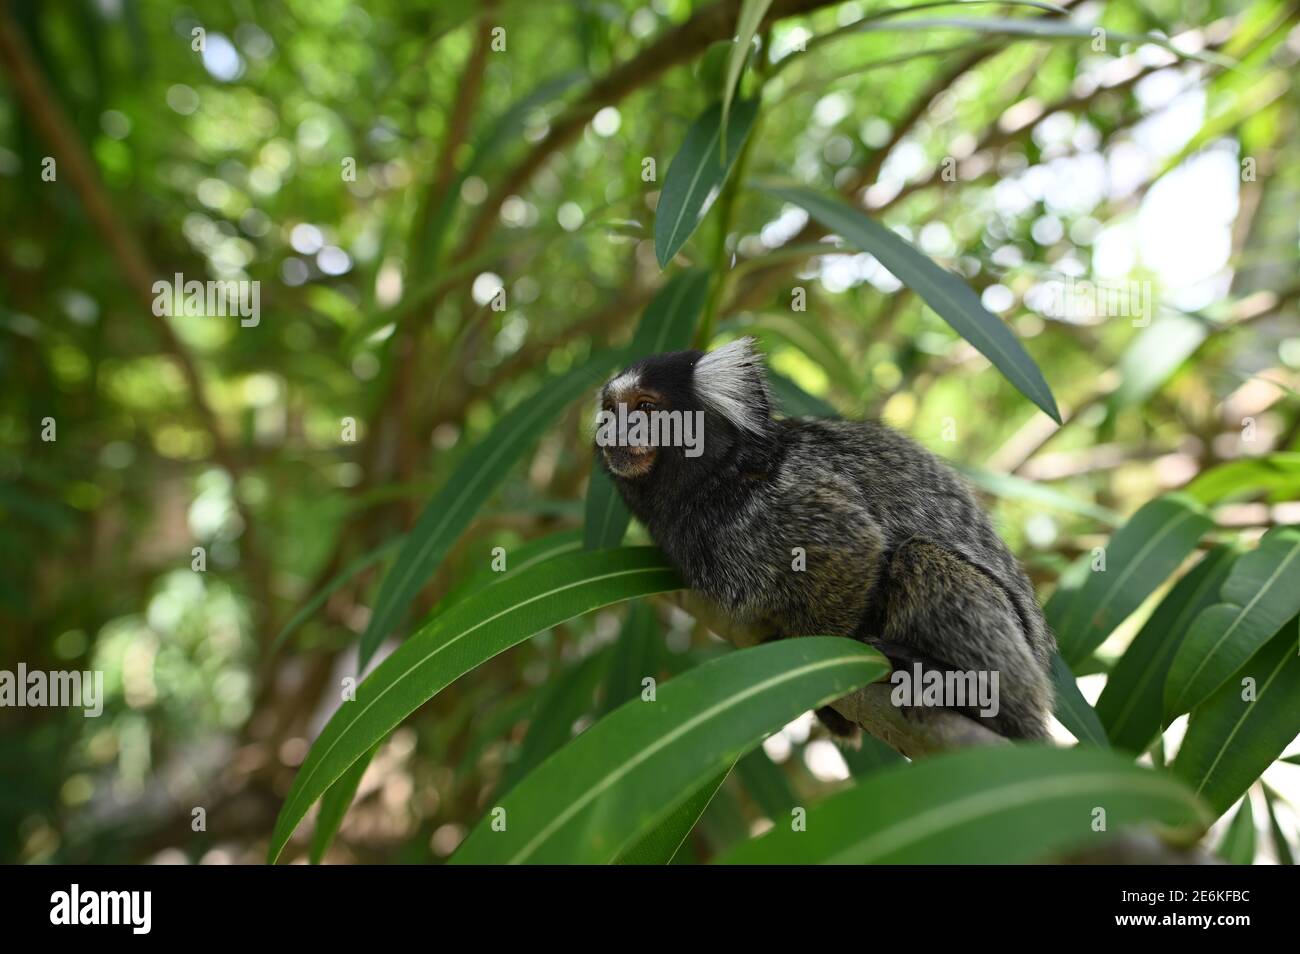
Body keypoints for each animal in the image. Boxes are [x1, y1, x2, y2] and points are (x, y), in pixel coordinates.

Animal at [594, 336, 1055, 740]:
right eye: (611, 411)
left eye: (646, 408)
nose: (614, 432)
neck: (717, 476)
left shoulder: (777, 503)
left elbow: (855, 545)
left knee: (922, 558)